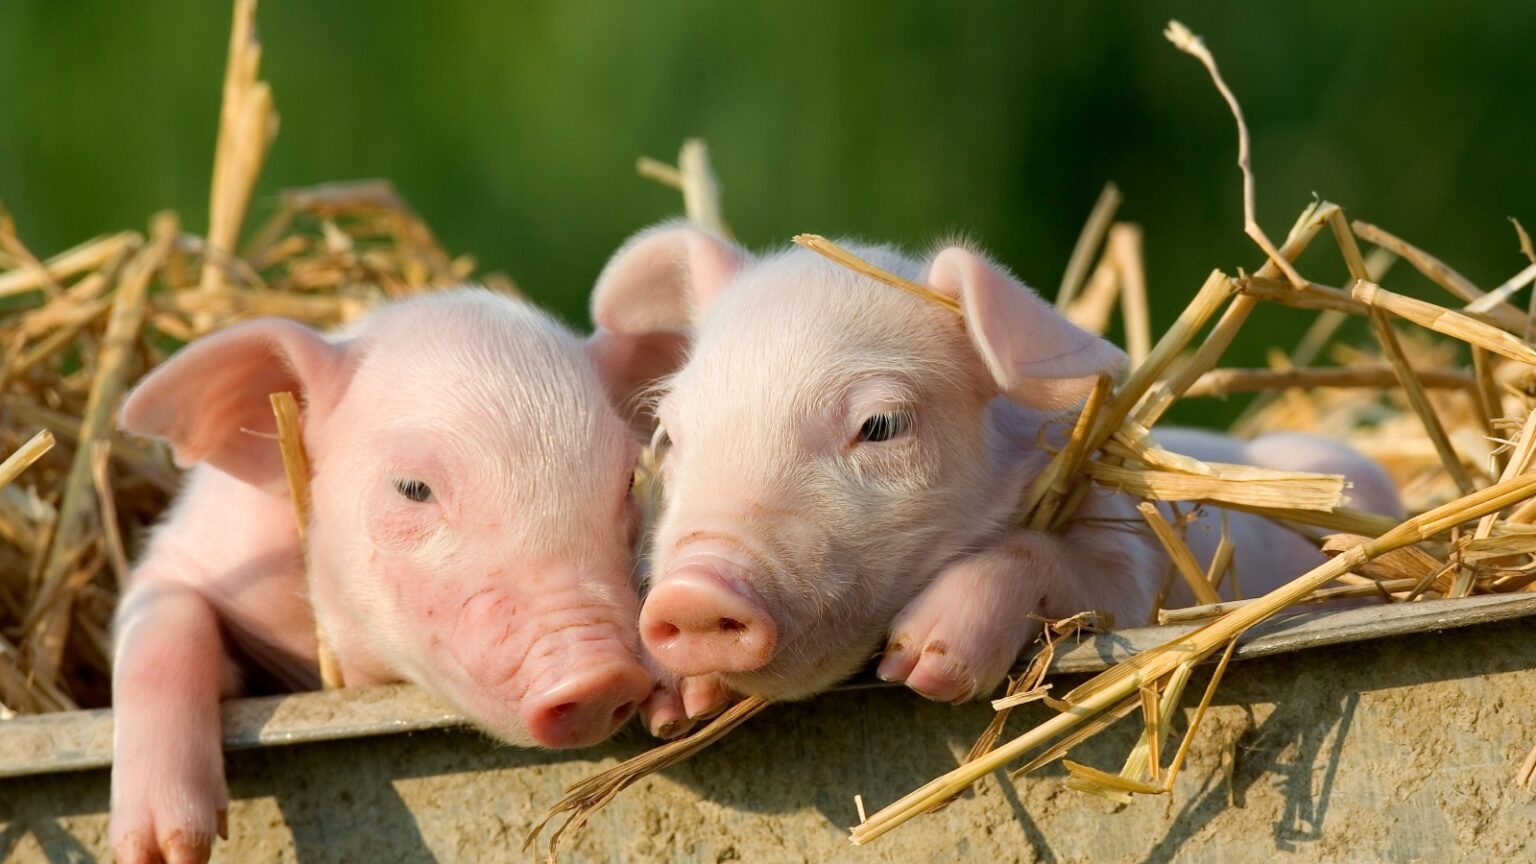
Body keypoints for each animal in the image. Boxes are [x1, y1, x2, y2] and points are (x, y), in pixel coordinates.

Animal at [110, 287, 676, 864]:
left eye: (629, 480)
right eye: (412, 488)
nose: (603, 675)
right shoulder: (188, 556)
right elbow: (161, 634)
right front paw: (163, 851)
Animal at [589, 223, 1403, 707]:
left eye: (881, 425)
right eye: (670, 433)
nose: (690, 593)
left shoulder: (1136, 563)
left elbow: (1063, 569)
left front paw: (923, 666)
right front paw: (678, 704)